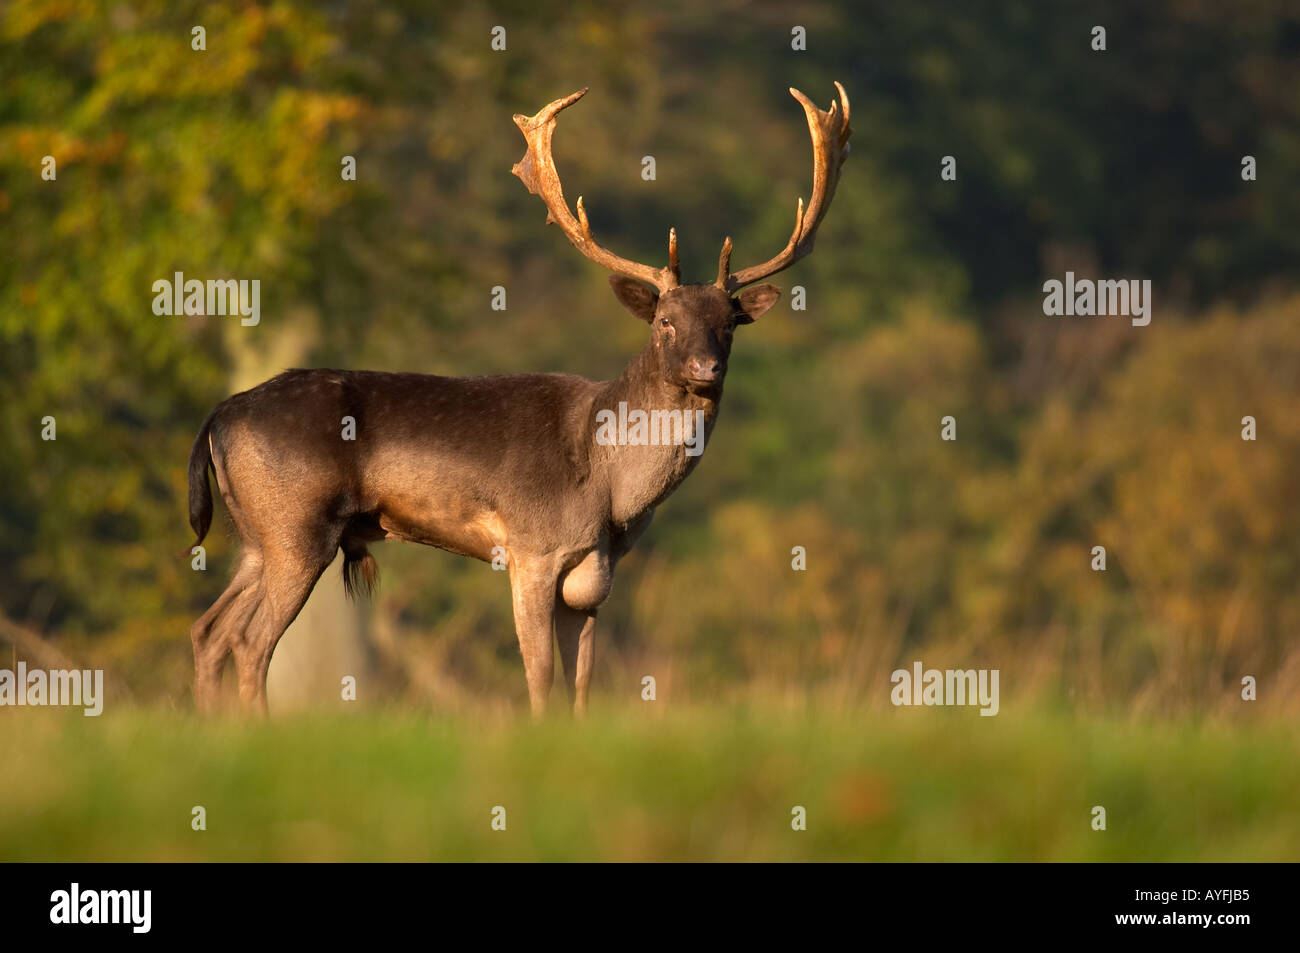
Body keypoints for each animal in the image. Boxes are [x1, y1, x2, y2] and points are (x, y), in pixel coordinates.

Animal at [186, 82, 851, 716]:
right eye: (664, 320)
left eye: (730, 323)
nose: (704, 367)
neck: (610, 488)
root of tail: (216, 417)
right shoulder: (532, 547)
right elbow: (539, 678)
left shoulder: (593, 579)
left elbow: (581, 686)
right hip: (295, 524)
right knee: (249, 640)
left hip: (255, 536)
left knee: (208, 630)